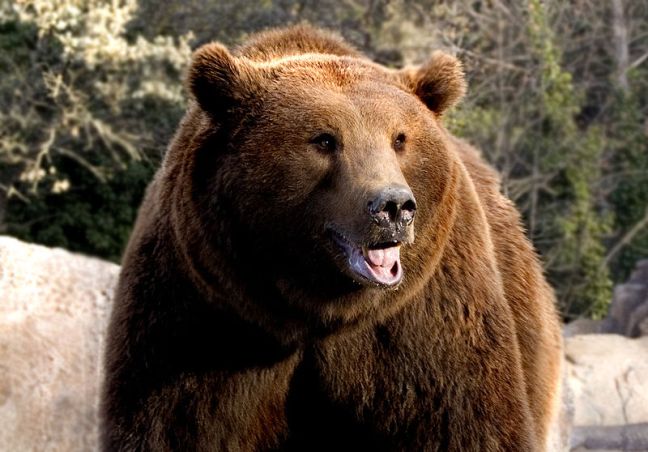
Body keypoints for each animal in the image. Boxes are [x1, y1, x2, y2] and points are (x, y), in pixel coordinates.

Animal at [101, 25, 562, 451]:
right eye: (324, 139)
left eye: (400, 138)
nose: (393, 206)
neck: (318, 309)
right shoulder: (200, 314)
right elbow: (175, 422)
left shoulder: (426, 321)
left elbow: (462, 421)